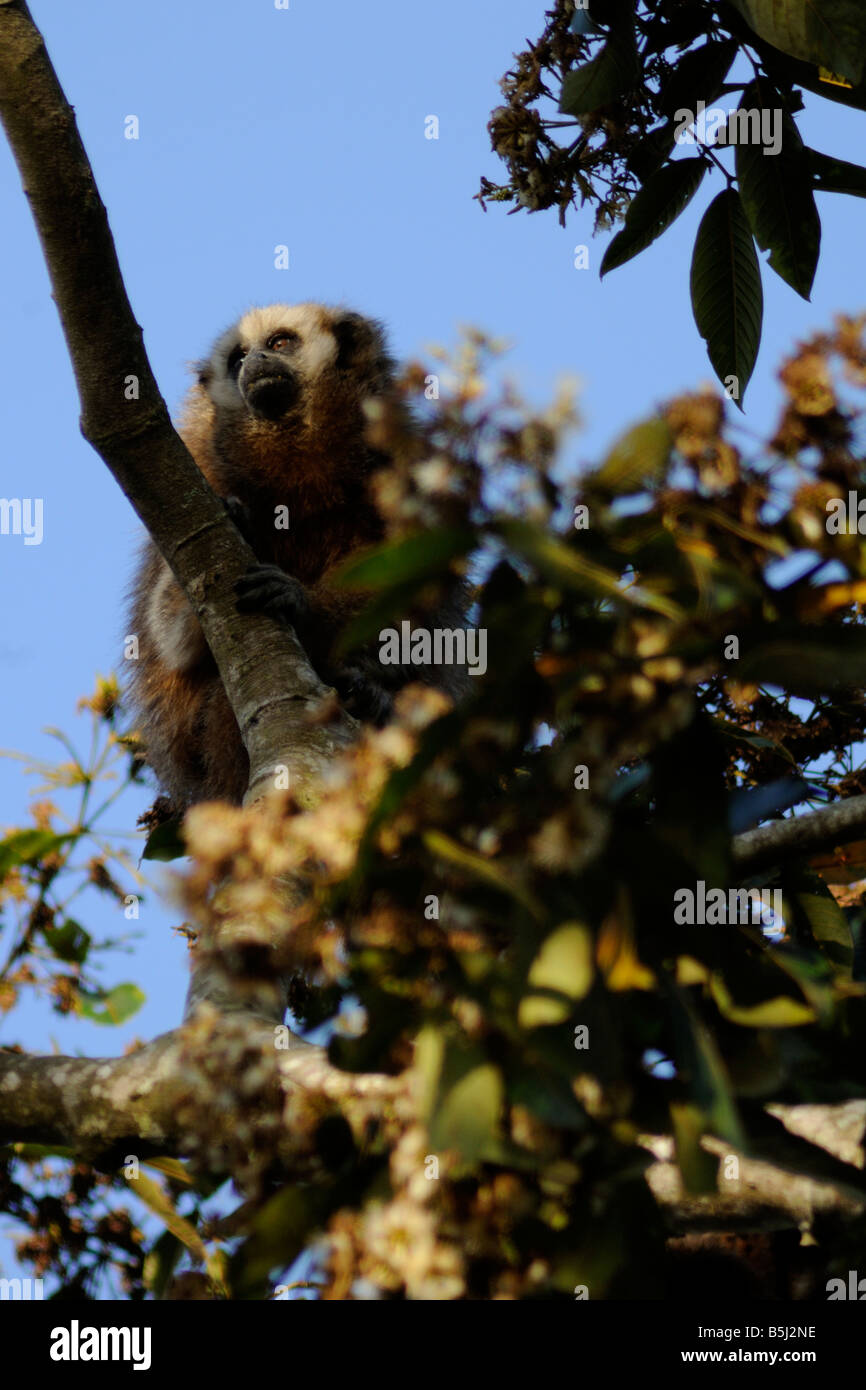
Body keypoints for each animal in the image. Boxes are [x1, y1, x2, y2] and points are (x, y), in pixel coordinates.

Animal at [126, 302, 470, 810]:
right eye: (237, 358)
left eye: (280, 343)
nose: (253, 363)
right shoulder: (194, 483)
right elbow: (174, 639)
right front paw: (241, 523)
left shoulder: (402, 466)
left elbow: (419, 601)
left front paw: (298, 601)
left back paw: (371, 703)